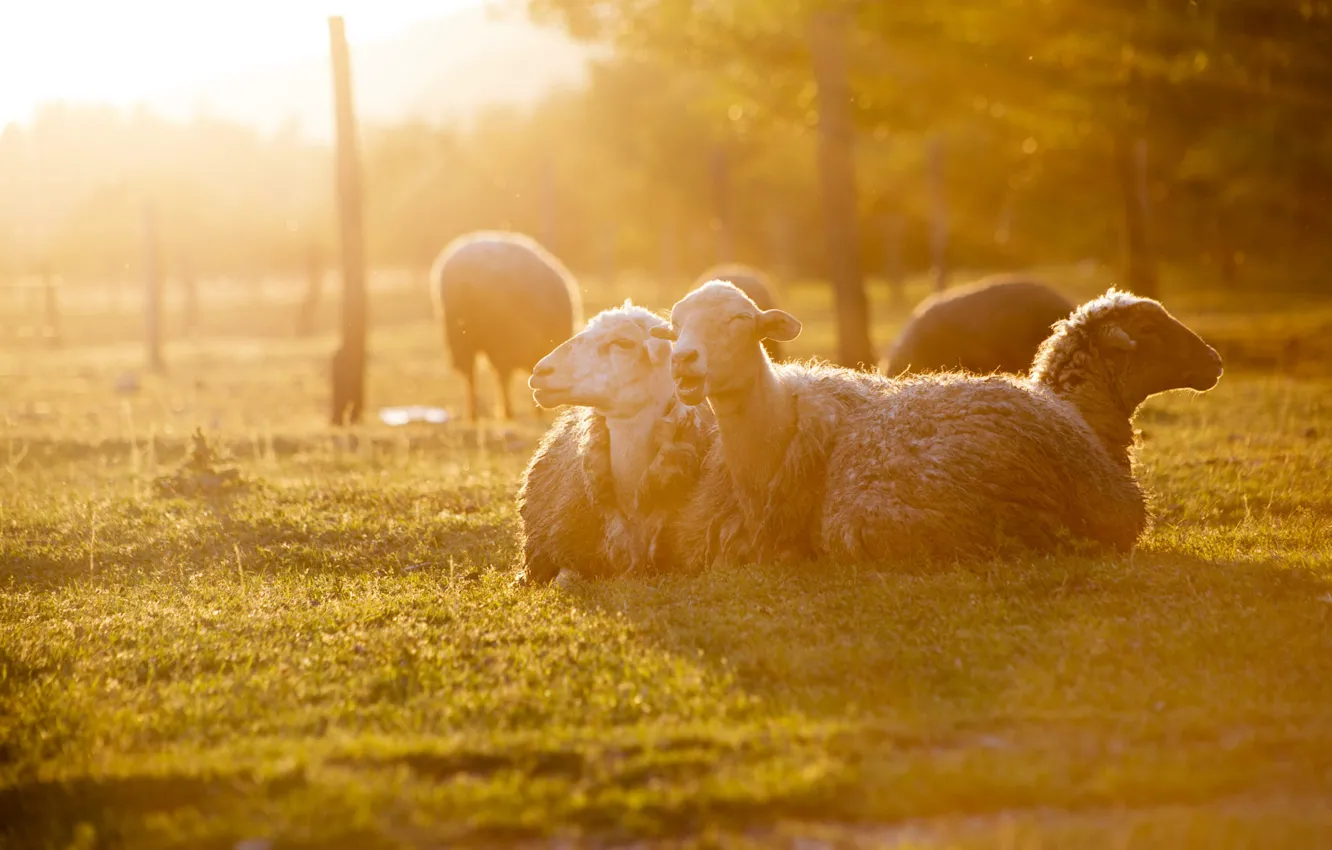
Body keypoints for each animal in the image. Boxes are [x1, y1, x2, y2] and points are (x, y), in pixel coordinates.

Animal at [431, 231, 583, 421]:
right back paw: (504, 411)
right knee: (496, 374)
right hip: (494, 334)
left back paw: (474, 413)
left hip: (459, 333)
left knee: (470, 374)